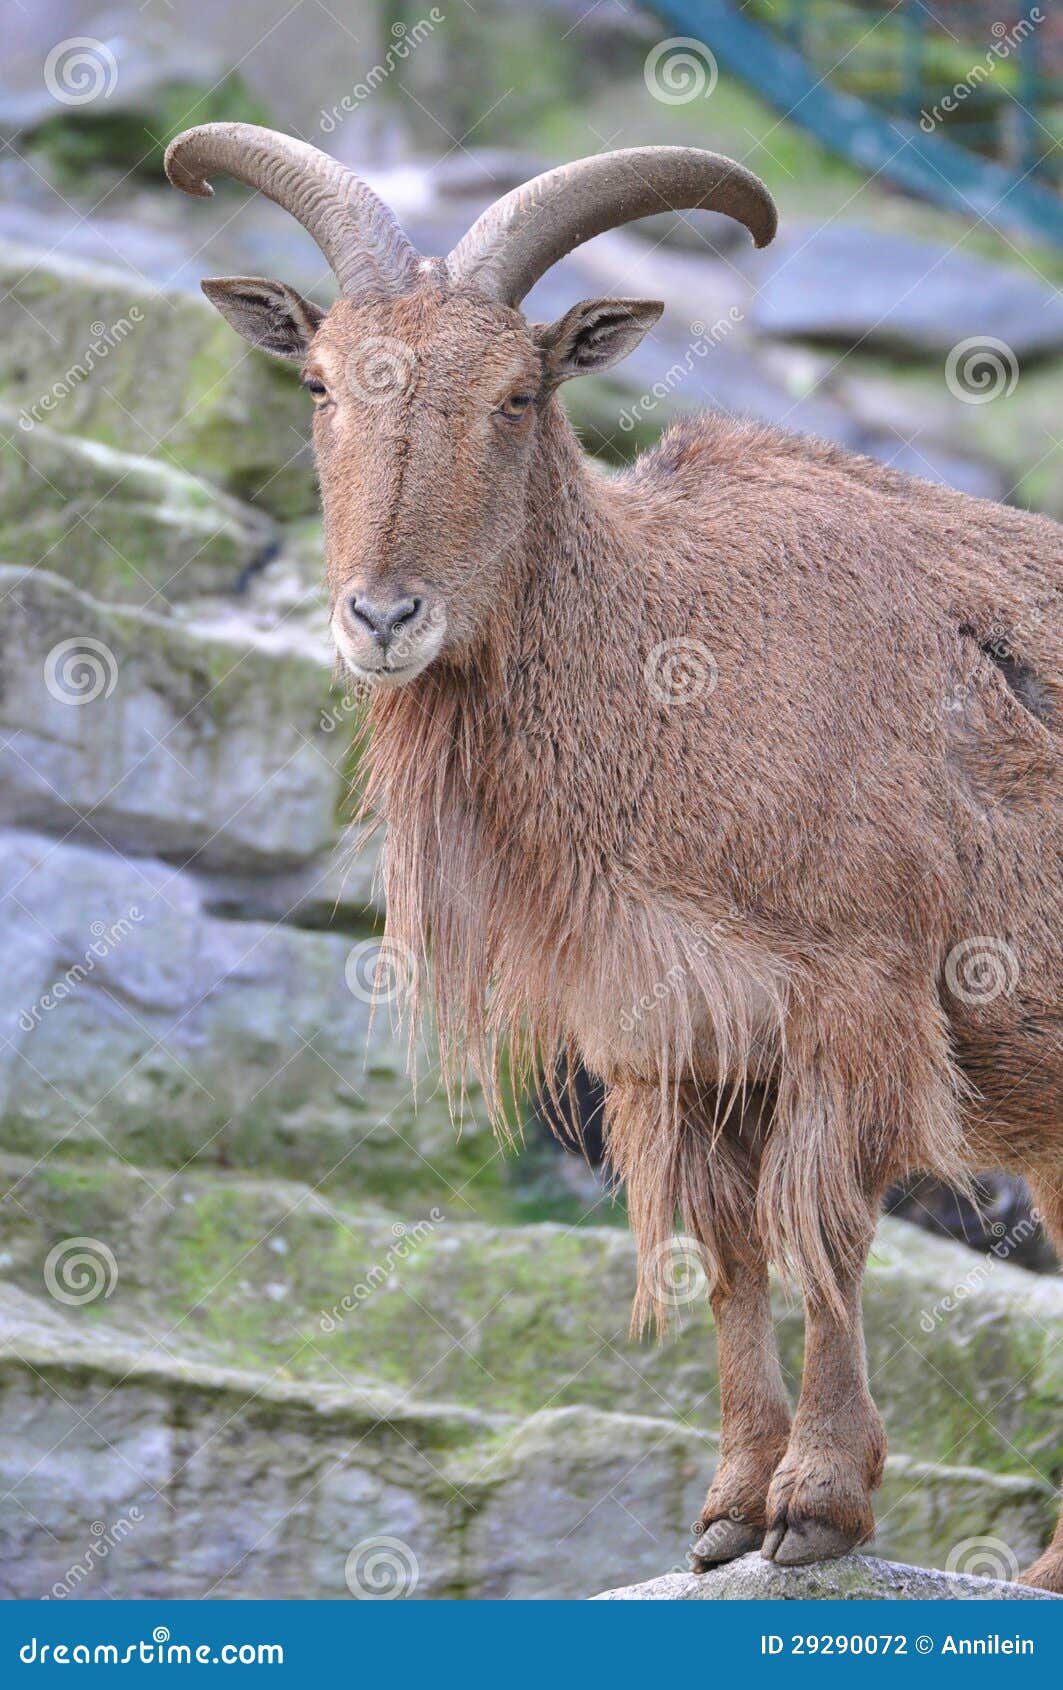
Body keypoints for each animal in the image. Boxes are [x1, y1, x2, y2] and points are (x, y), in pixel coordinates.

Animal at [167, 123, 1063, 1587]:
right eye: (316, 381)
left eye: (516, 394)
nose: (382, 615)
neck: (667, 657)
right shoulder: (671, 1043)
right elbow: (728, 1252)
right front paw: (725, 1510)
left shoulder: (854, 1003)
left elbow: (826, 1236)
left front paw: (816, 1505)